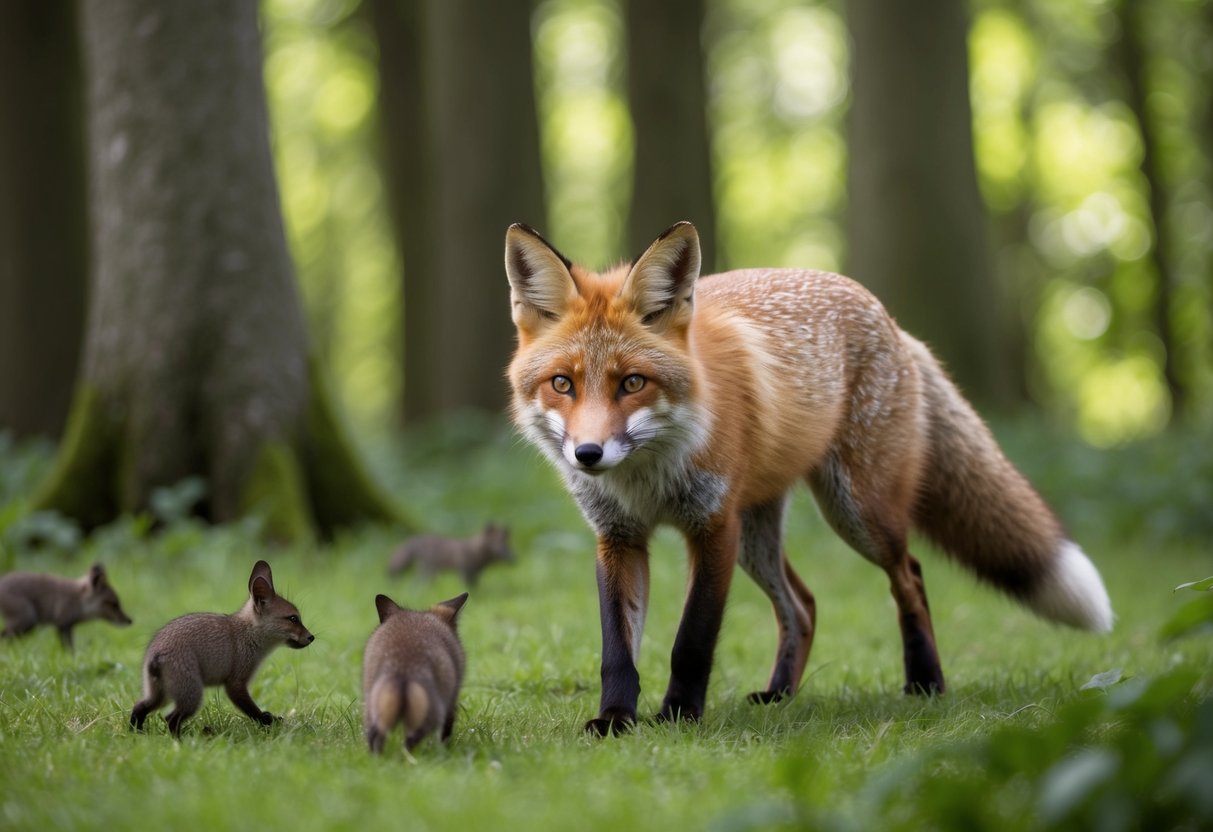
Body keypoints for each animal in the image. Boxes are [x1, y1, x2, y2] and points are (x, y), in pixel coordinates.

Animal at [0, 563, 132, 649]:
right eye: (114, 604)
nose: (130, 620)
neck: (79, 601)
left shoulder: (67, 626)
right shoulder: (63, 625)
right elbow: (68, 649)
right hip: (26, 621)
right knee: (5, 637)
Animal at [129, 560, 314, 738]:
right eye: (293, 619)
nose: (312, 637)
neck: (247, 634)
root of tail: (156, 654)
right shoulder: (235, 684)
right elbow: (254, 711)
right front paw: (269, 721)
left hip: (160, 695)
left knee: (139, 707)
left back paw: (136, 734)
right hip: (191, 696)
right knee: (171, 719)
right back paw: (180, 742)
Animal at [362, 592, 467, 754]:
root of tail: (403, 670)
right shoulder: (451, 701)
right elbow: (446, 731)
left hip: (373, 710)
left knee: (375, 737)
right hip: (432, 715)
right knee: (411, 742)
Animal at [504, 220, 1114, 736]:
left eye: (632, 383)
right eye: (562, 384)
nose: (587, 454)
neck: (646, 477)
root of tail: (891, 320)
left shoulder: (712, 527)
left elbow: (692, 640)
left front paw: (678, 716)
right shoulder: (618, 537)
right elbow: (617, 650)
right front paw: (615, 719)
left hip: (856, 513)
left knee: (910, 576)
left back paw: (925, 682)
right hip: (758, 539)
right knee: (804, 605)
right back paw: (780, 694)